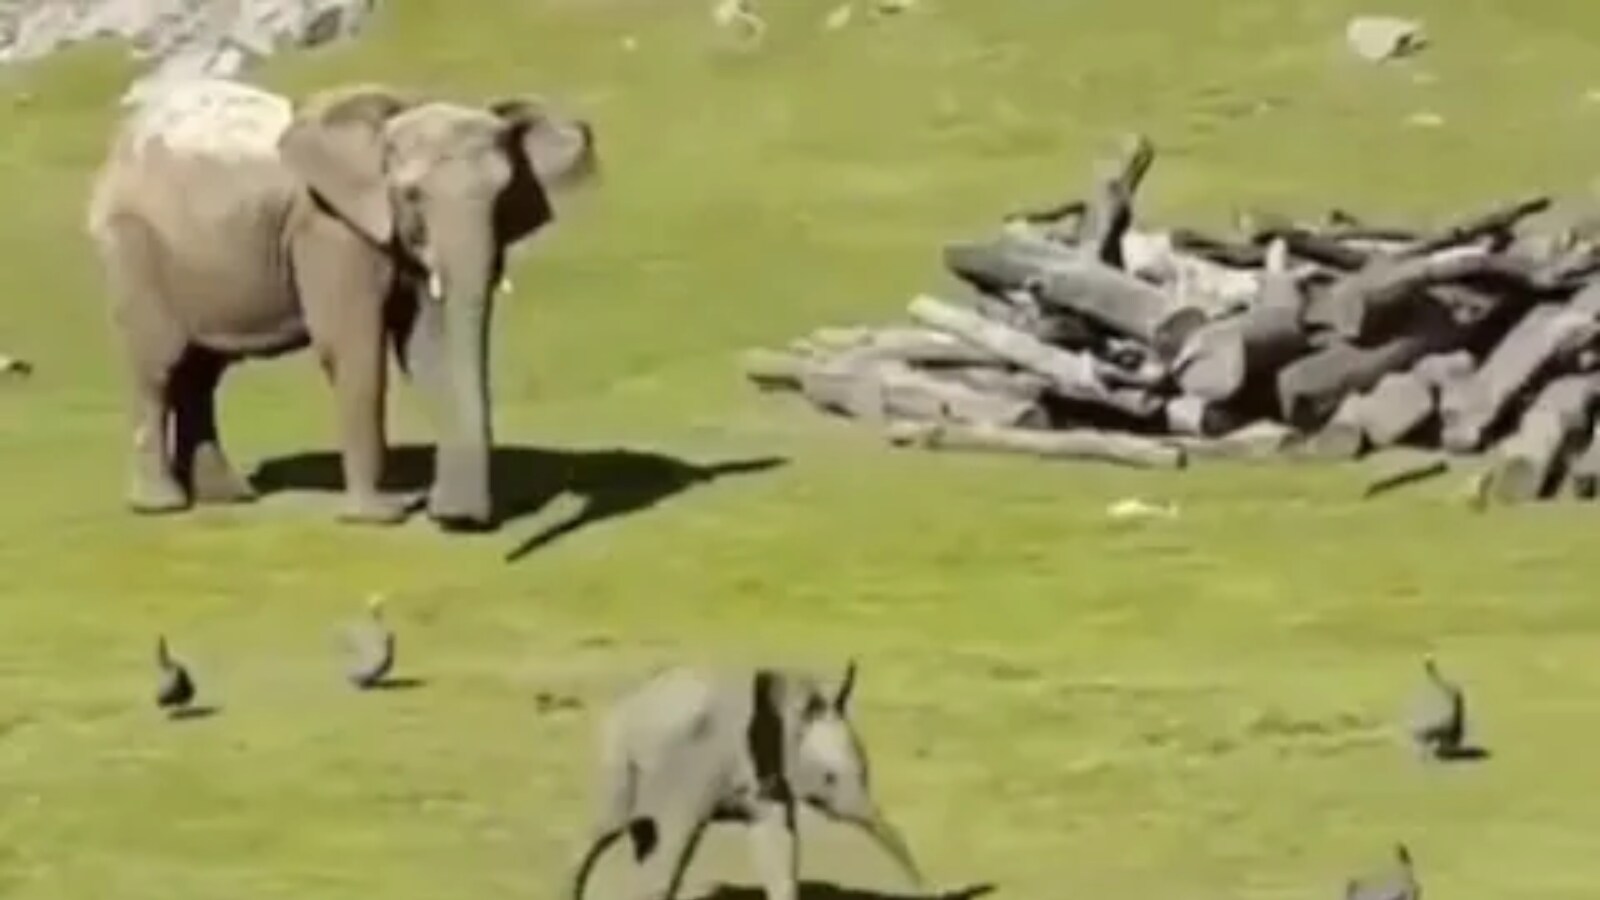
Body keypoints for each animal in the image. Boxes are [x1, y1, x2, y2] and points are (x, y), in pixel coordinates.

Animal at [85, 76, 597, 529]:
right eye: (411, 195)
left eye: (504, 195)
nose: (464, 518)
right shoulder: (330, 228)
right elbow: (356, 350)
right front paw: (379, 518)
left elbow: (427, 350)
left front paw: (451, 517)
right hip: (132, 243)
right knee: (159, 367)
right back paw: (161, 506)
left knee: (201, 372)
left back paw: (227, 496)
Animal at [571, 660, 923, 900]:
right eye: (829, 778)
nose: (923, 888)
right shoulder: (699, 761)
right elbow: (678, 841)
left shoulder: (770, 775)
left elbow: (778, 844)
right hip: (617, 762)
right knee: (604, 832)